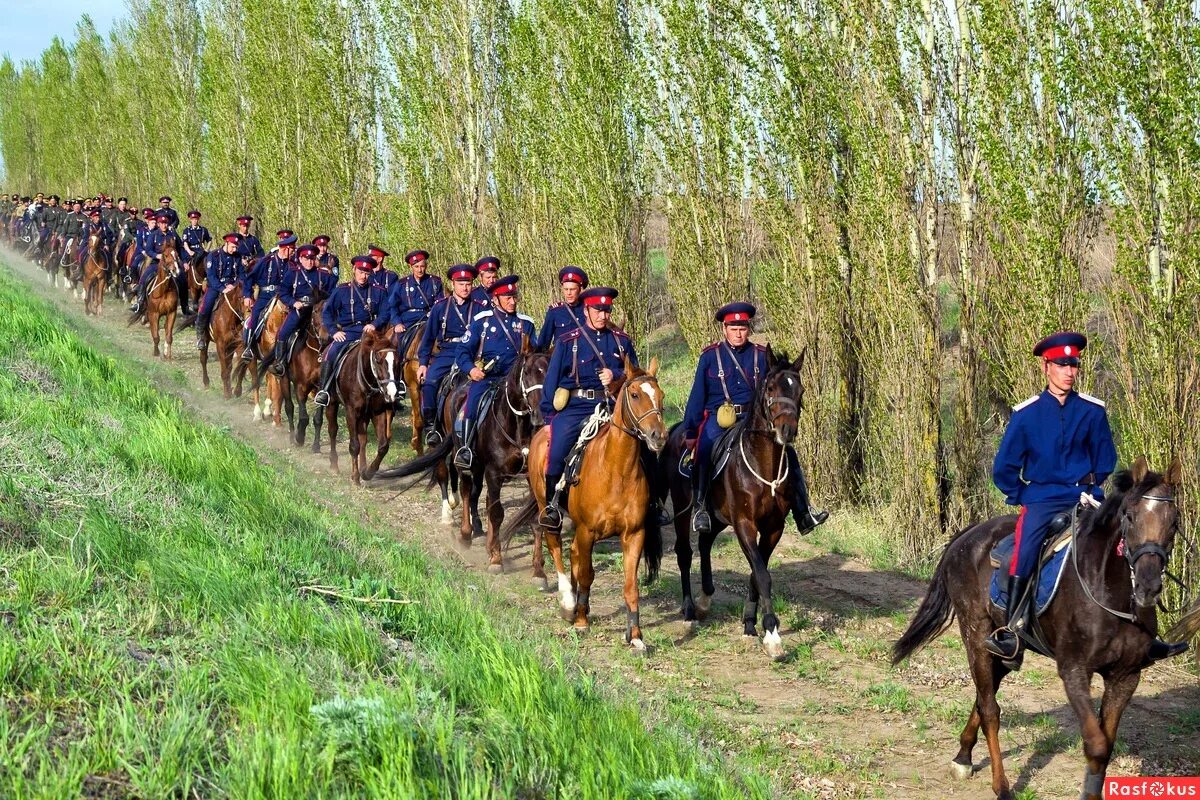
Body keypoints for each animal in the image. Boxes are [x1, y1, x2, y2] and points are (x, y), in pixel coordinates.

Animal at [321, 328, 400, 484]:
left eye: (396, 360)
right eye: (378, 359)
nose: (391, 393)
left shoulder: (378, 412)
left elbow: (383, 446)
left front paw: (368, 472)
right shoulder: (351, 412)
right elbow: (354, 445)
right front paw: (355, 477)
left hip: (364, 414)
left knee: (363, 439)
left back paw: (363, 467)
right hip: (332, 404)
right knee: (333, 430)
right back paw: (334, 465)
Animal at [372, 345, 549, 575]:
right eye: (526, 373)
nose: (540, 415)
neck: (517, 427)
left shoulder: (529, 477)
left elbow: (534, 519)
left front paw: (538, 570)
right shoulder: (494, 473)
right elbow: (496, 513)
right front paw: (496, 559)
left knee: (476, 494)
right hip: (463, 455)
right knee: (464, 489)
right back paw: (464, 532)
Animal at [496, 357, 667, 652]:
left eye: (661, 395)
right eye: (635, 395)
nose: (658, 436)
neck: (617, 470)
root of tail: (542, 431)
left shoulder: (634, 535)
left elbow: (629, 585)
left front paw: (635, 635)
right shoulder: (588, 531)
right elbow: (586, 574)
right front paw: (580, 620)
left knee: (573, 553)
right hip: (546, 509)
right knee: (555, 545)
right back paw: (567, 600)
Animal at [657, 347, 806, 662]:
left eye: (799, 390)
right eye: (771, 388)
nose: (787, 430)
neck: (765, 467)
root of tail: (678, 430)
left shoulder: (773, 528)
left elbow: (756, 574)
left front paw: (750, 625)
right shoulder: (744, 525)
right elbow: (762, 575)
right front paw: (772, 635)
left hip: (716, 517)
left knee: (704, 544)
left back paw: (705, 598)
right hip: (683, 509)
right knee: (685, 553)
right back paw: (690, 611)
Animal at [892, 455, 1180, 800]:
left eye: (1174, 521)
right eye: (1130, 516)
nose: (1148, 586)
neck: (1108, 592)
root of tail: (969, 534)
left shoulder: (1125, 677)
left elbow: (1106, 746)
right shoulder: (1073, 671)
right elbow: (1096, 744)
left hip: (1004, 650)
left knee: (984, 696)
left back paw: (963, 756)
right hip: (974, 633)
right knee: (991, 710)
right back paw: (1001, 786)